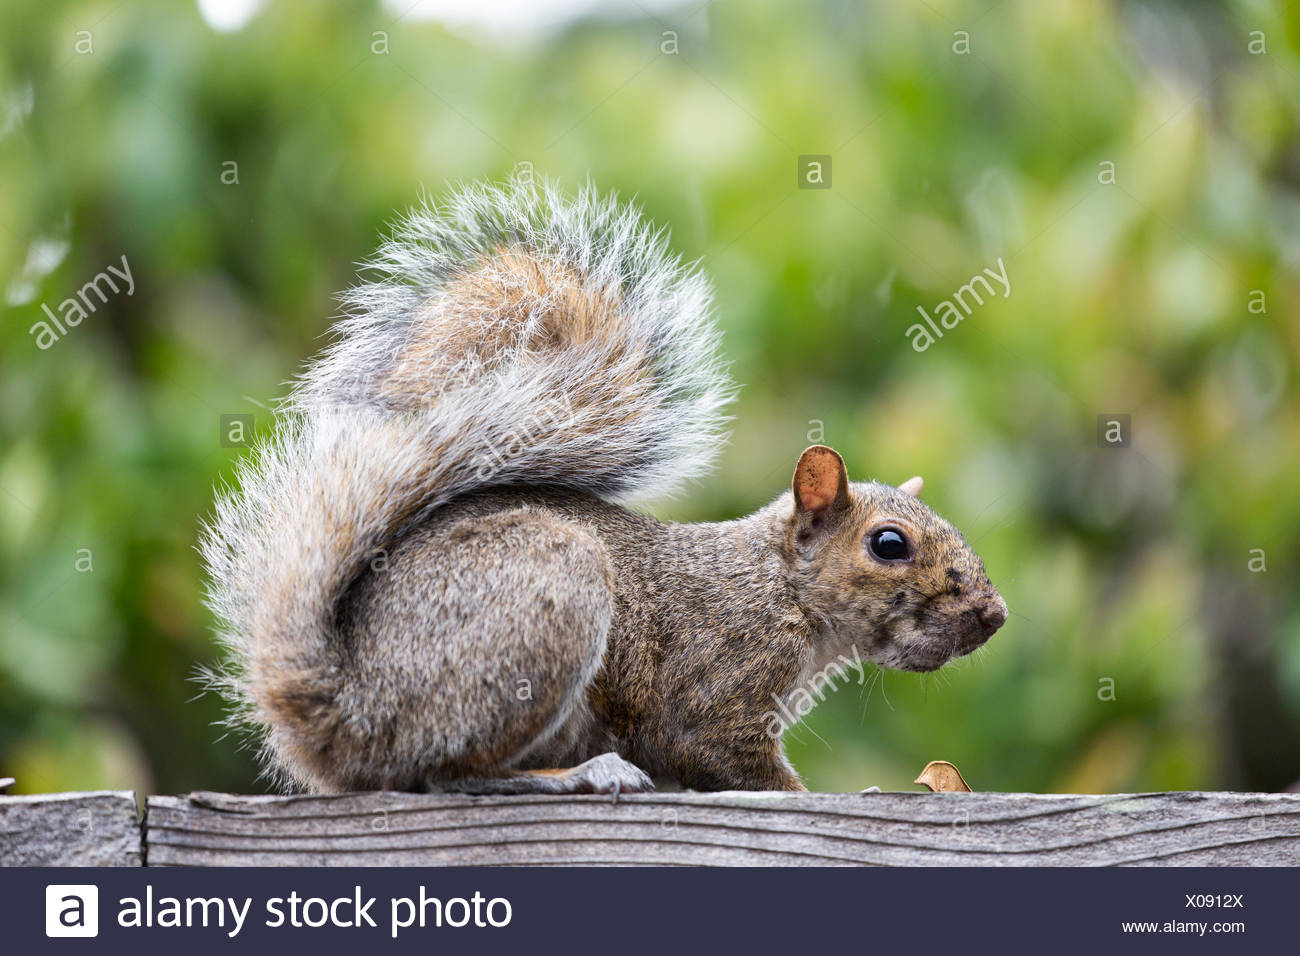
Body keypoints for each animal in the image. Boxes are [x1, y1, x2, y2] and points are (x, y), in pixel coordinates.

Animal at [201, 178, 1007, 795]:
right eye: (889, 544)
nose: (993, 614)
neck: (780, 588)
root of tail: (348, 716)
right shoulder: (713, 689)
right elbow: (722, 758)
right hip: (544, 600)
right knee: (446, 773)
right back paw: (578, 775)